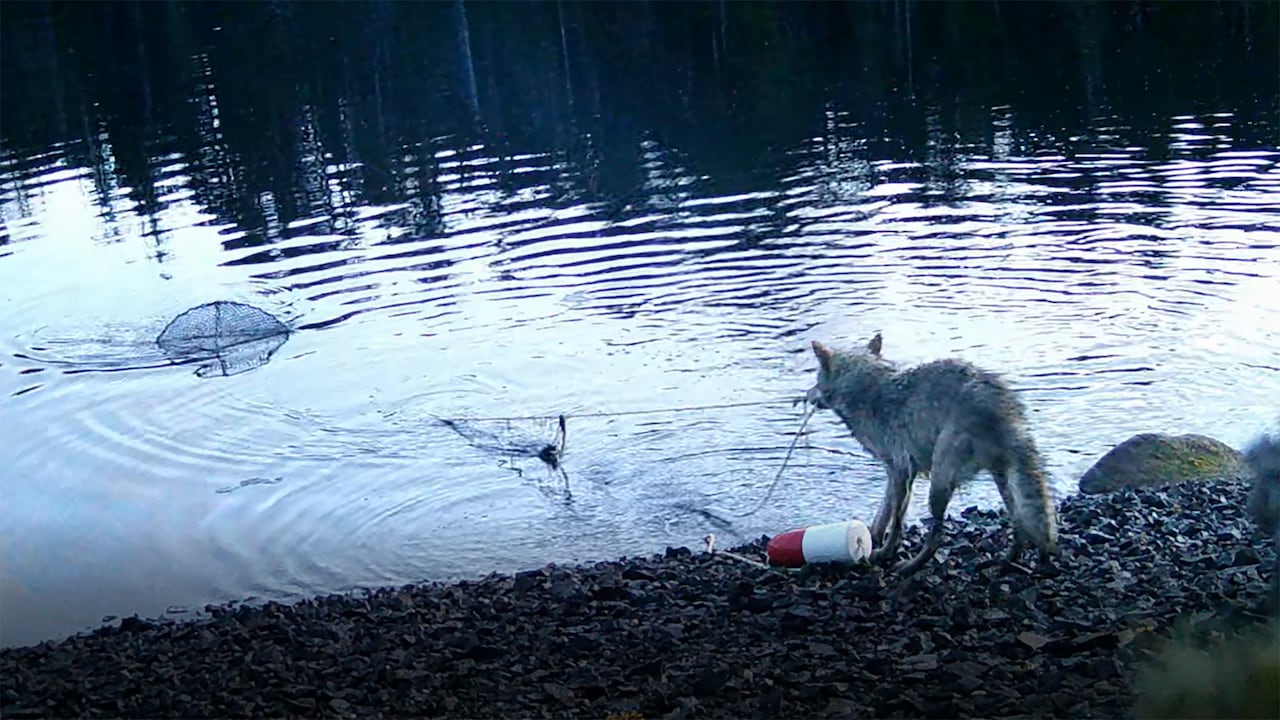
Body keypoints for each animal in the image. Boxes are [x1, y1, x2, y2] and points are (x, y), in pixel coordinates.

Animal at [806, 333, 1058, 574]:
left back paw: (913, 566)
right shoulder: (893, 472)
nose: (805, 395)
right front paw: (874, 535)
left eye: (816, 379)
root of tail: (1003, 409)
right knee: (1019, 524)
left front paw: (886, 551)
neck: (866, 388)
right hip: (1003, 478)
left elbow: (896, 522)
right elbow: (884, 511)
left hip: (939, 482)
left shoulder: (902, 471)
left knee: (938, 535)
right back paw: (1008, 561)